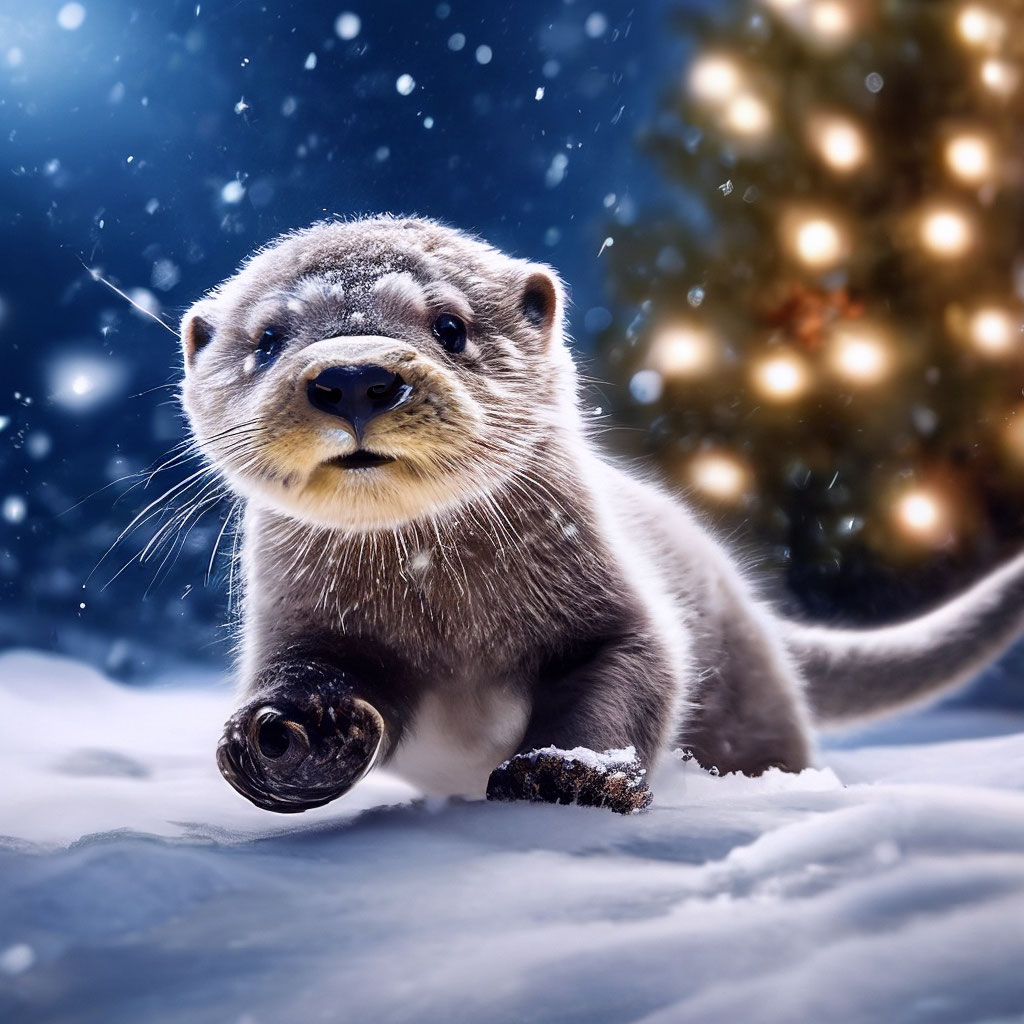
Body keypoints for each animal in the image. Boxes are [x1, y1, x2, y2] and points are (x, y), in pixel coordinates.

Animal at [179, 216, 1024, 815]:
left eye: (450, 327)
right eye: (269, 339)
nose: (354, 375)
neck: (444, 613)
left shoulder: (615, 599)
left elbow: (630, 668)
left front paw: (571, 775)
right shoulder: (300, 621)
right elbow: (306, 674)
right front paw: (287, 736)